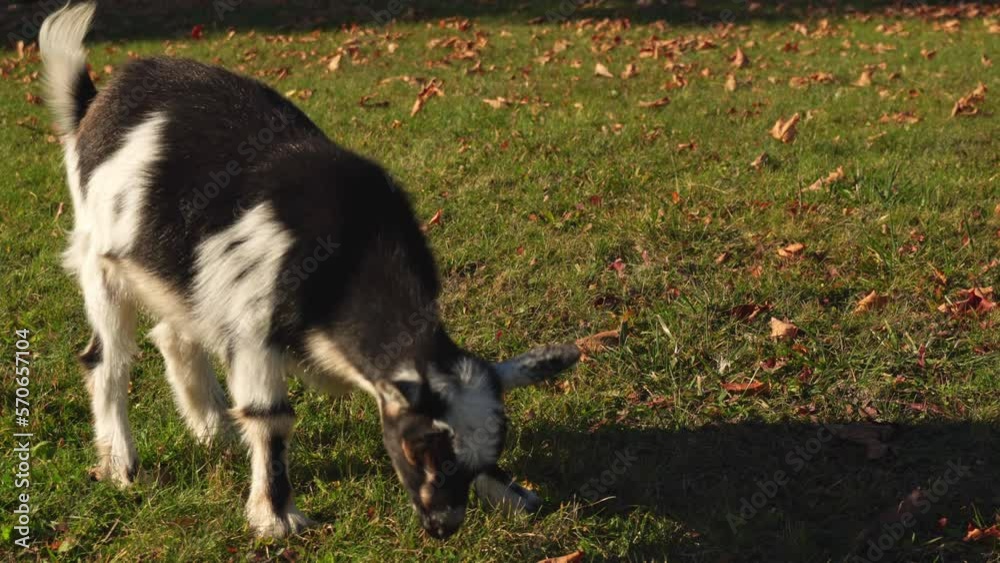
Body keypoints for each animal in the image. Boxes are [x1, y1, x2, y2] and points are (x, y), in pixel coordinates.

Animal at [39, 2, 579, 539]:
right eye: (417, 447)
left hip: (180, 273)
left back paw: (216, 429)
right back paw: (122, 466)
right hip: (100, 262)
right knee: (107, 360)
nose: (441, 525)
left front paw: (513, 495)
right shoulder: (253, 328)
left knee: (174, 336)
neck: (352, 252)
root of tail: (97, 99)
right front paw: (276, 516)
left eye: (485, 456)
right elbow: (272, 418)